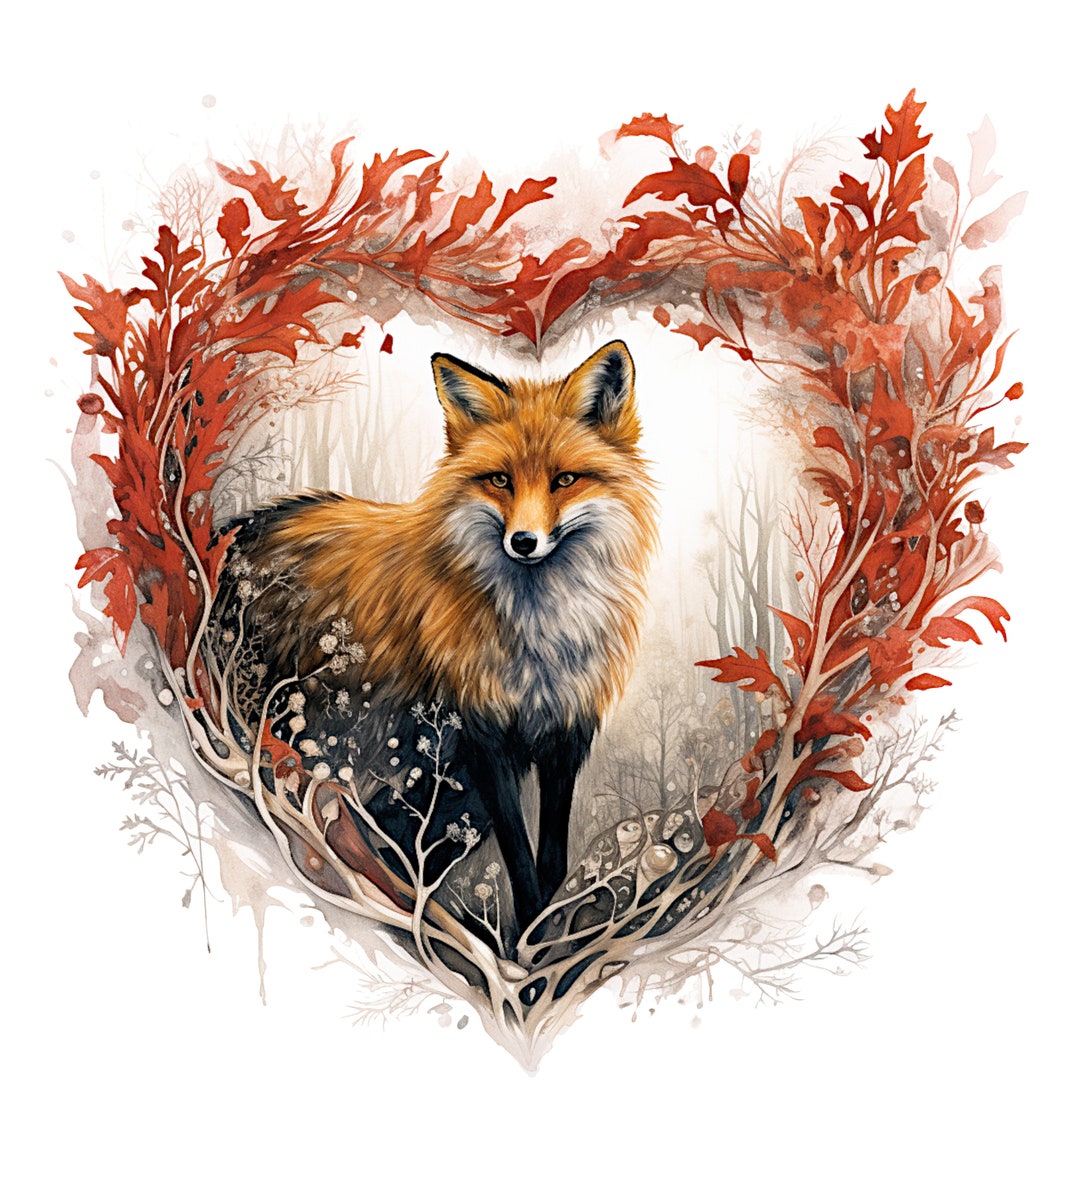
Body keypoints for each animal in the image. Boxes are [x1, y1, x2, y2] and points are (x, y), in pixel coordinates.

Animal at [218, 340, 658, 934]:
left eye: (565, 480)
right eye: (500, 480)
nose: (524, 541)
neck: (538, 634)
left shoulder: (564, 732)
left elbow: (552, 859)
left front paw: (545, 942)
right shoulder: (483, 736)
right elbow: (520, 859)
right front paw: (525, 944)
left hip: (445, 781)